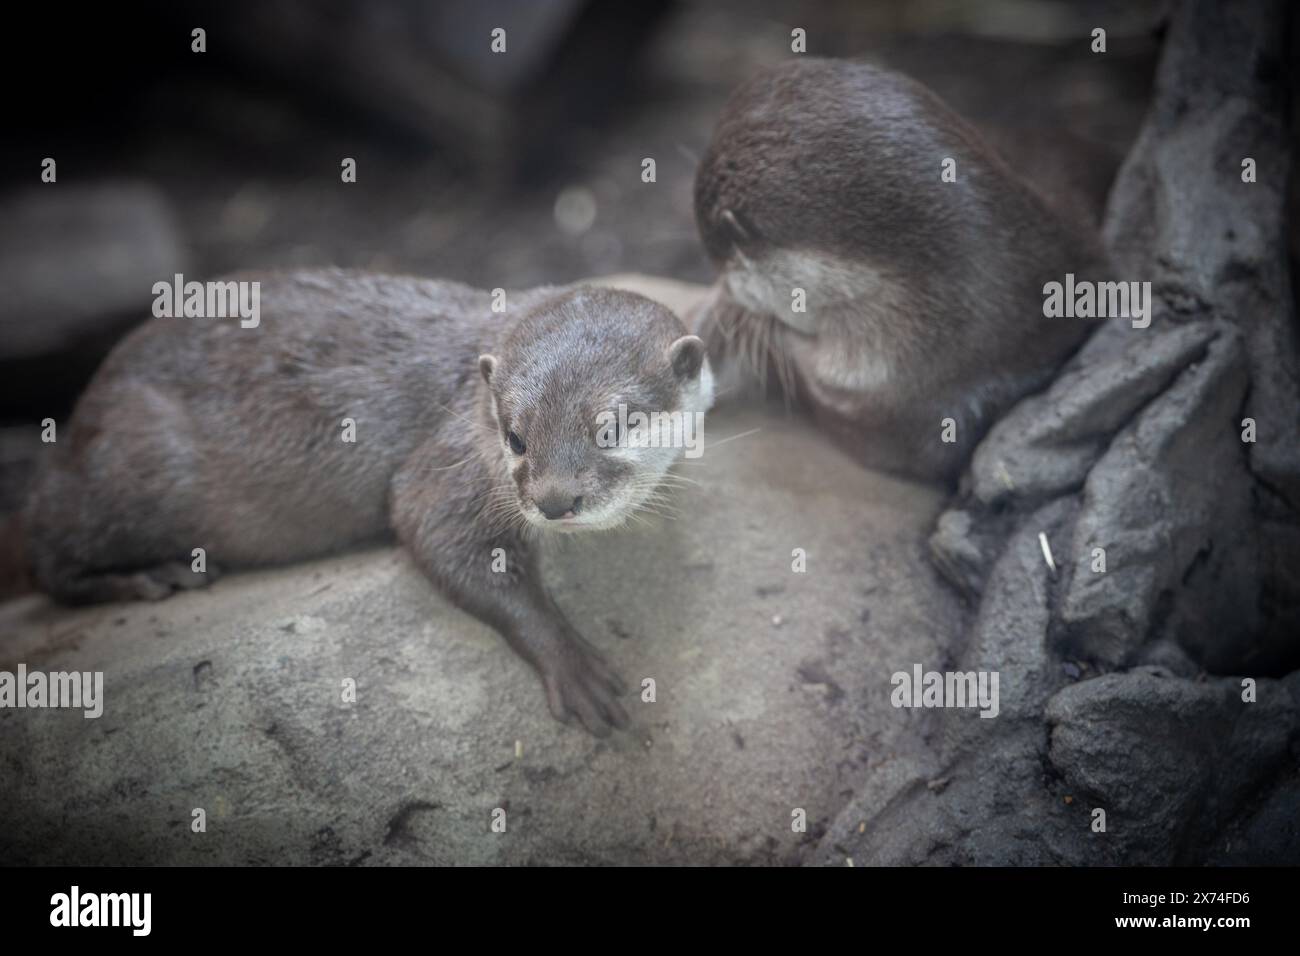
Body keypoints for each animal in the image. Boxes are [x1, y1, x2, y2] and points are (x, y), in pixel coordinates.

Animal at [23, 270, 714, 736]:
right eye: (516, 437)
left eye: (613, 428)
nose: (553, 501)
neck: (472, 385)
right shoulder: (453, 464)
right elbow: (438, 536)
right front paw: (572, 664)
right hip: (130, 468)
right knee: (49, 556)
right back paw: (149, 576)